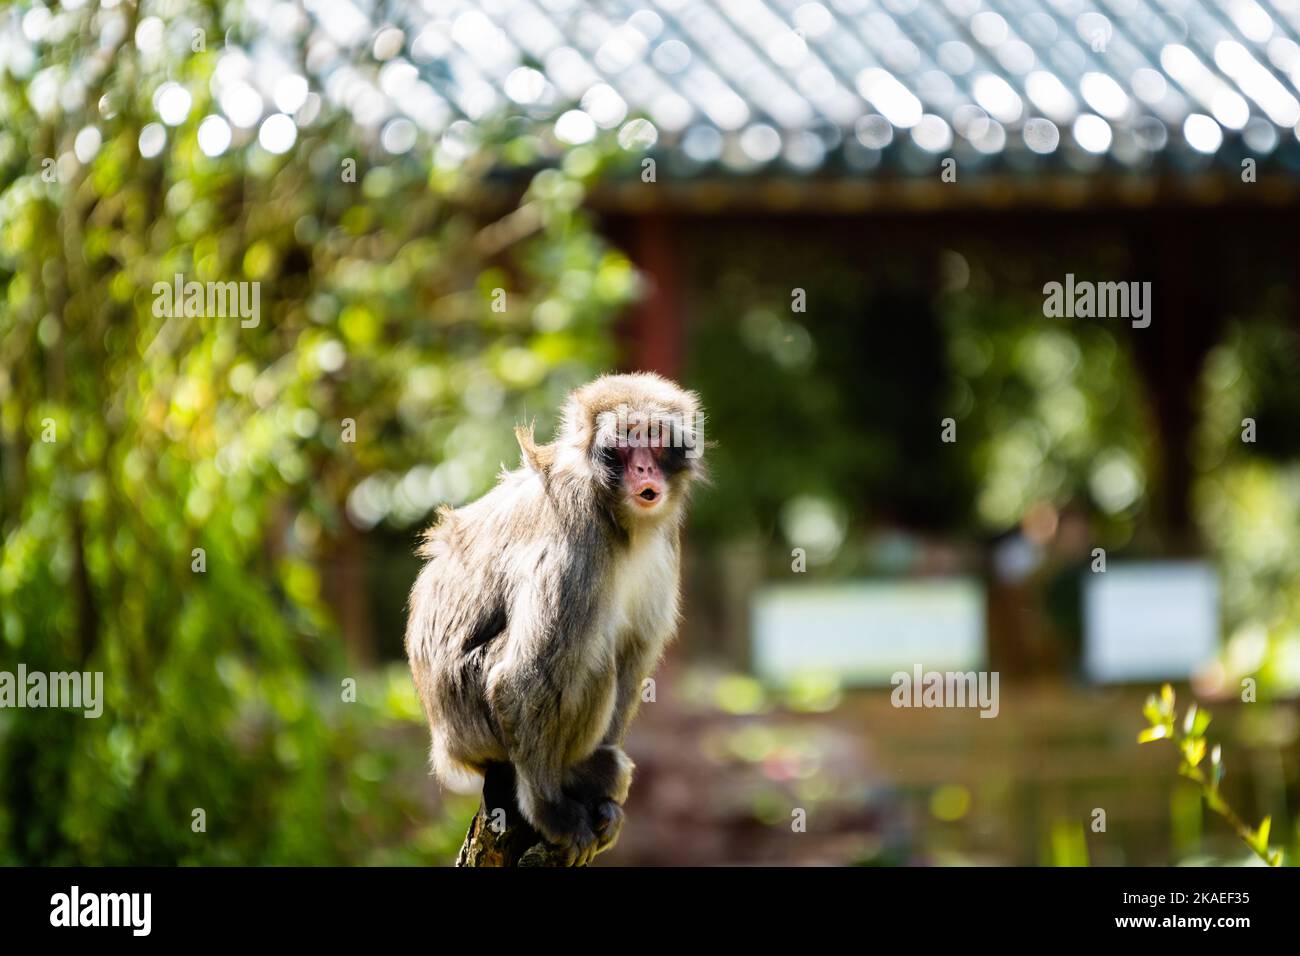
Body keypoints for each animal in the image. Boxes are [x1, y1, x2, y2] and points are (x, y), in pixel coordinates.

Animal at [405, 372, 706, 865]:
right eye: (626, 440)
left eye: (655, 438)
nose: (645, 471)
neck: (617, 517)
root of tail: (445, 743)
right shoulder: (579, 531)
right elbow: (524, 679)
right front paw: (550, 811)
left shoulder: (666, 540)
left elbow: (634, 655)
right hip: (471, 718)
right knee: (589, 659)